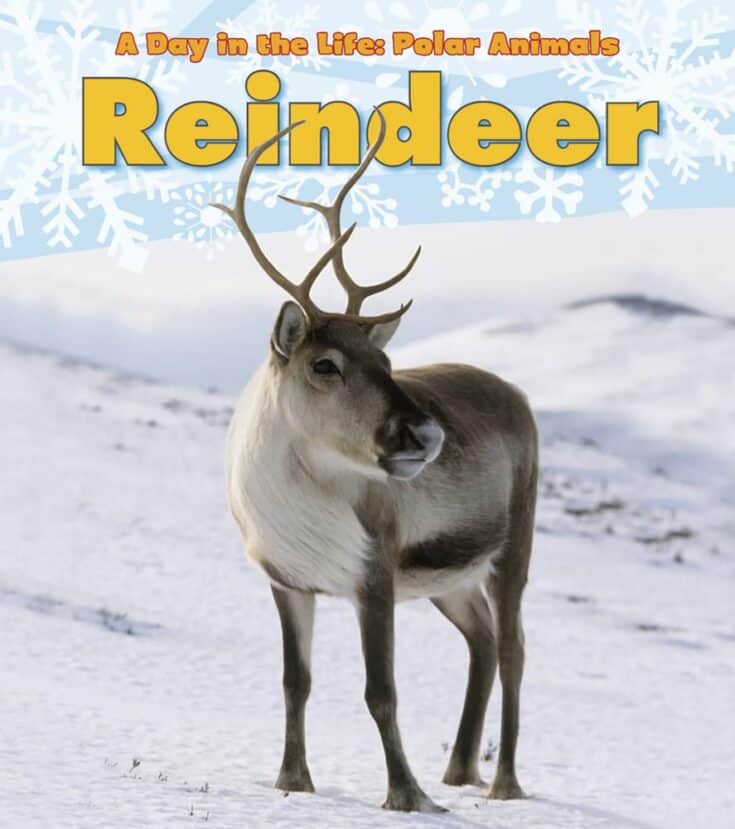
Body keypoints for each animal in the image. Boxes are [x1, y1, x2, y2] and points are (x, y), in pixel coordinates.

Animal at [216, 110, 538, 814]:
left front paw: (407, 795)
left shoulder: (376, 574)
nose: (427, 432)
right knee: (480, 639)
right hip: (448, 579)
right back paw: (458, 769)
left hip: (513, 549)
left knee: (512, 648)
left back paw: (502, 782)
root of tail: (516, 394)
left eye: (386, 361)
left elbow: (380, 691)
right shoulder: (287, 580)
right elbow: (296, 682)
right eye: (324, 364)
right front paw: (292, 780)